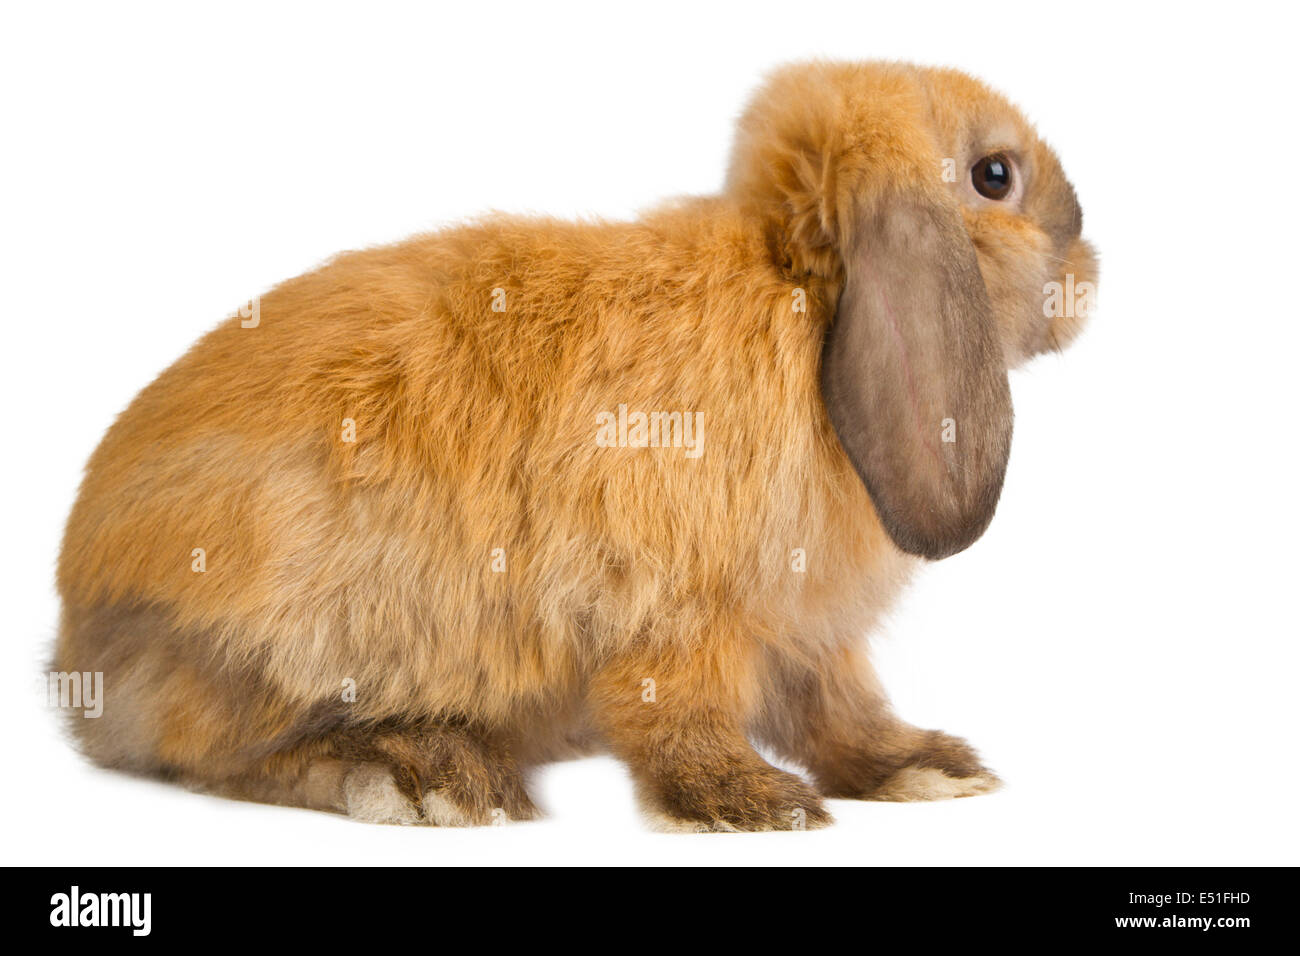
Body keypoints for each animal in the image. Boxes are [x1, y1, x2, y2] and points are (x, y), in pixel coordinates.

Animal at [54, 60, 1096, 831]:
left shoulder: (812, 634)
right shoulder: (683, 611)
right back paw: (425, 775)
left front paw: (925, 769)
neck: (802, 296)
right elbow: (674, 710)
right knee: (225, 753)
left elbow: (841, 711)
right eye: (995, 176)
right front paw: (749, 805)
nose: (1087, 266)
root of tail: (82, 642)